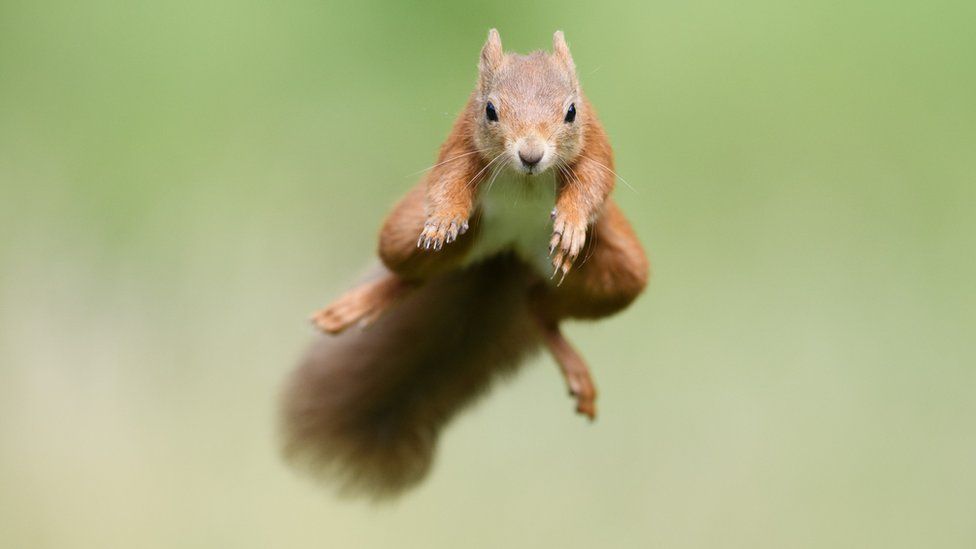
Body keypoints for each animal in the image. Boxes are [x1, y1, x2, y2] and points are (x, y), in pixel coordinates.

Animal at [280, 29, 649, 498]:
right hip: (403, 235)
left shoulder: (595, 140)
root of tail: (510, 251)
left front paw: (570, 221)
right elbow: (447, 179)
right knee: (414, 274)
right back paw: (366, 300)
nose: (531, 155)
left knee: (541, 307)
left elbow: (594, 180)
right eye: (489, 109)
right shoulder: (460, 140)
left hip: (622, 273)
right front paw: (445, 217)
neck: (525, 180)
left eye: (571, 111)